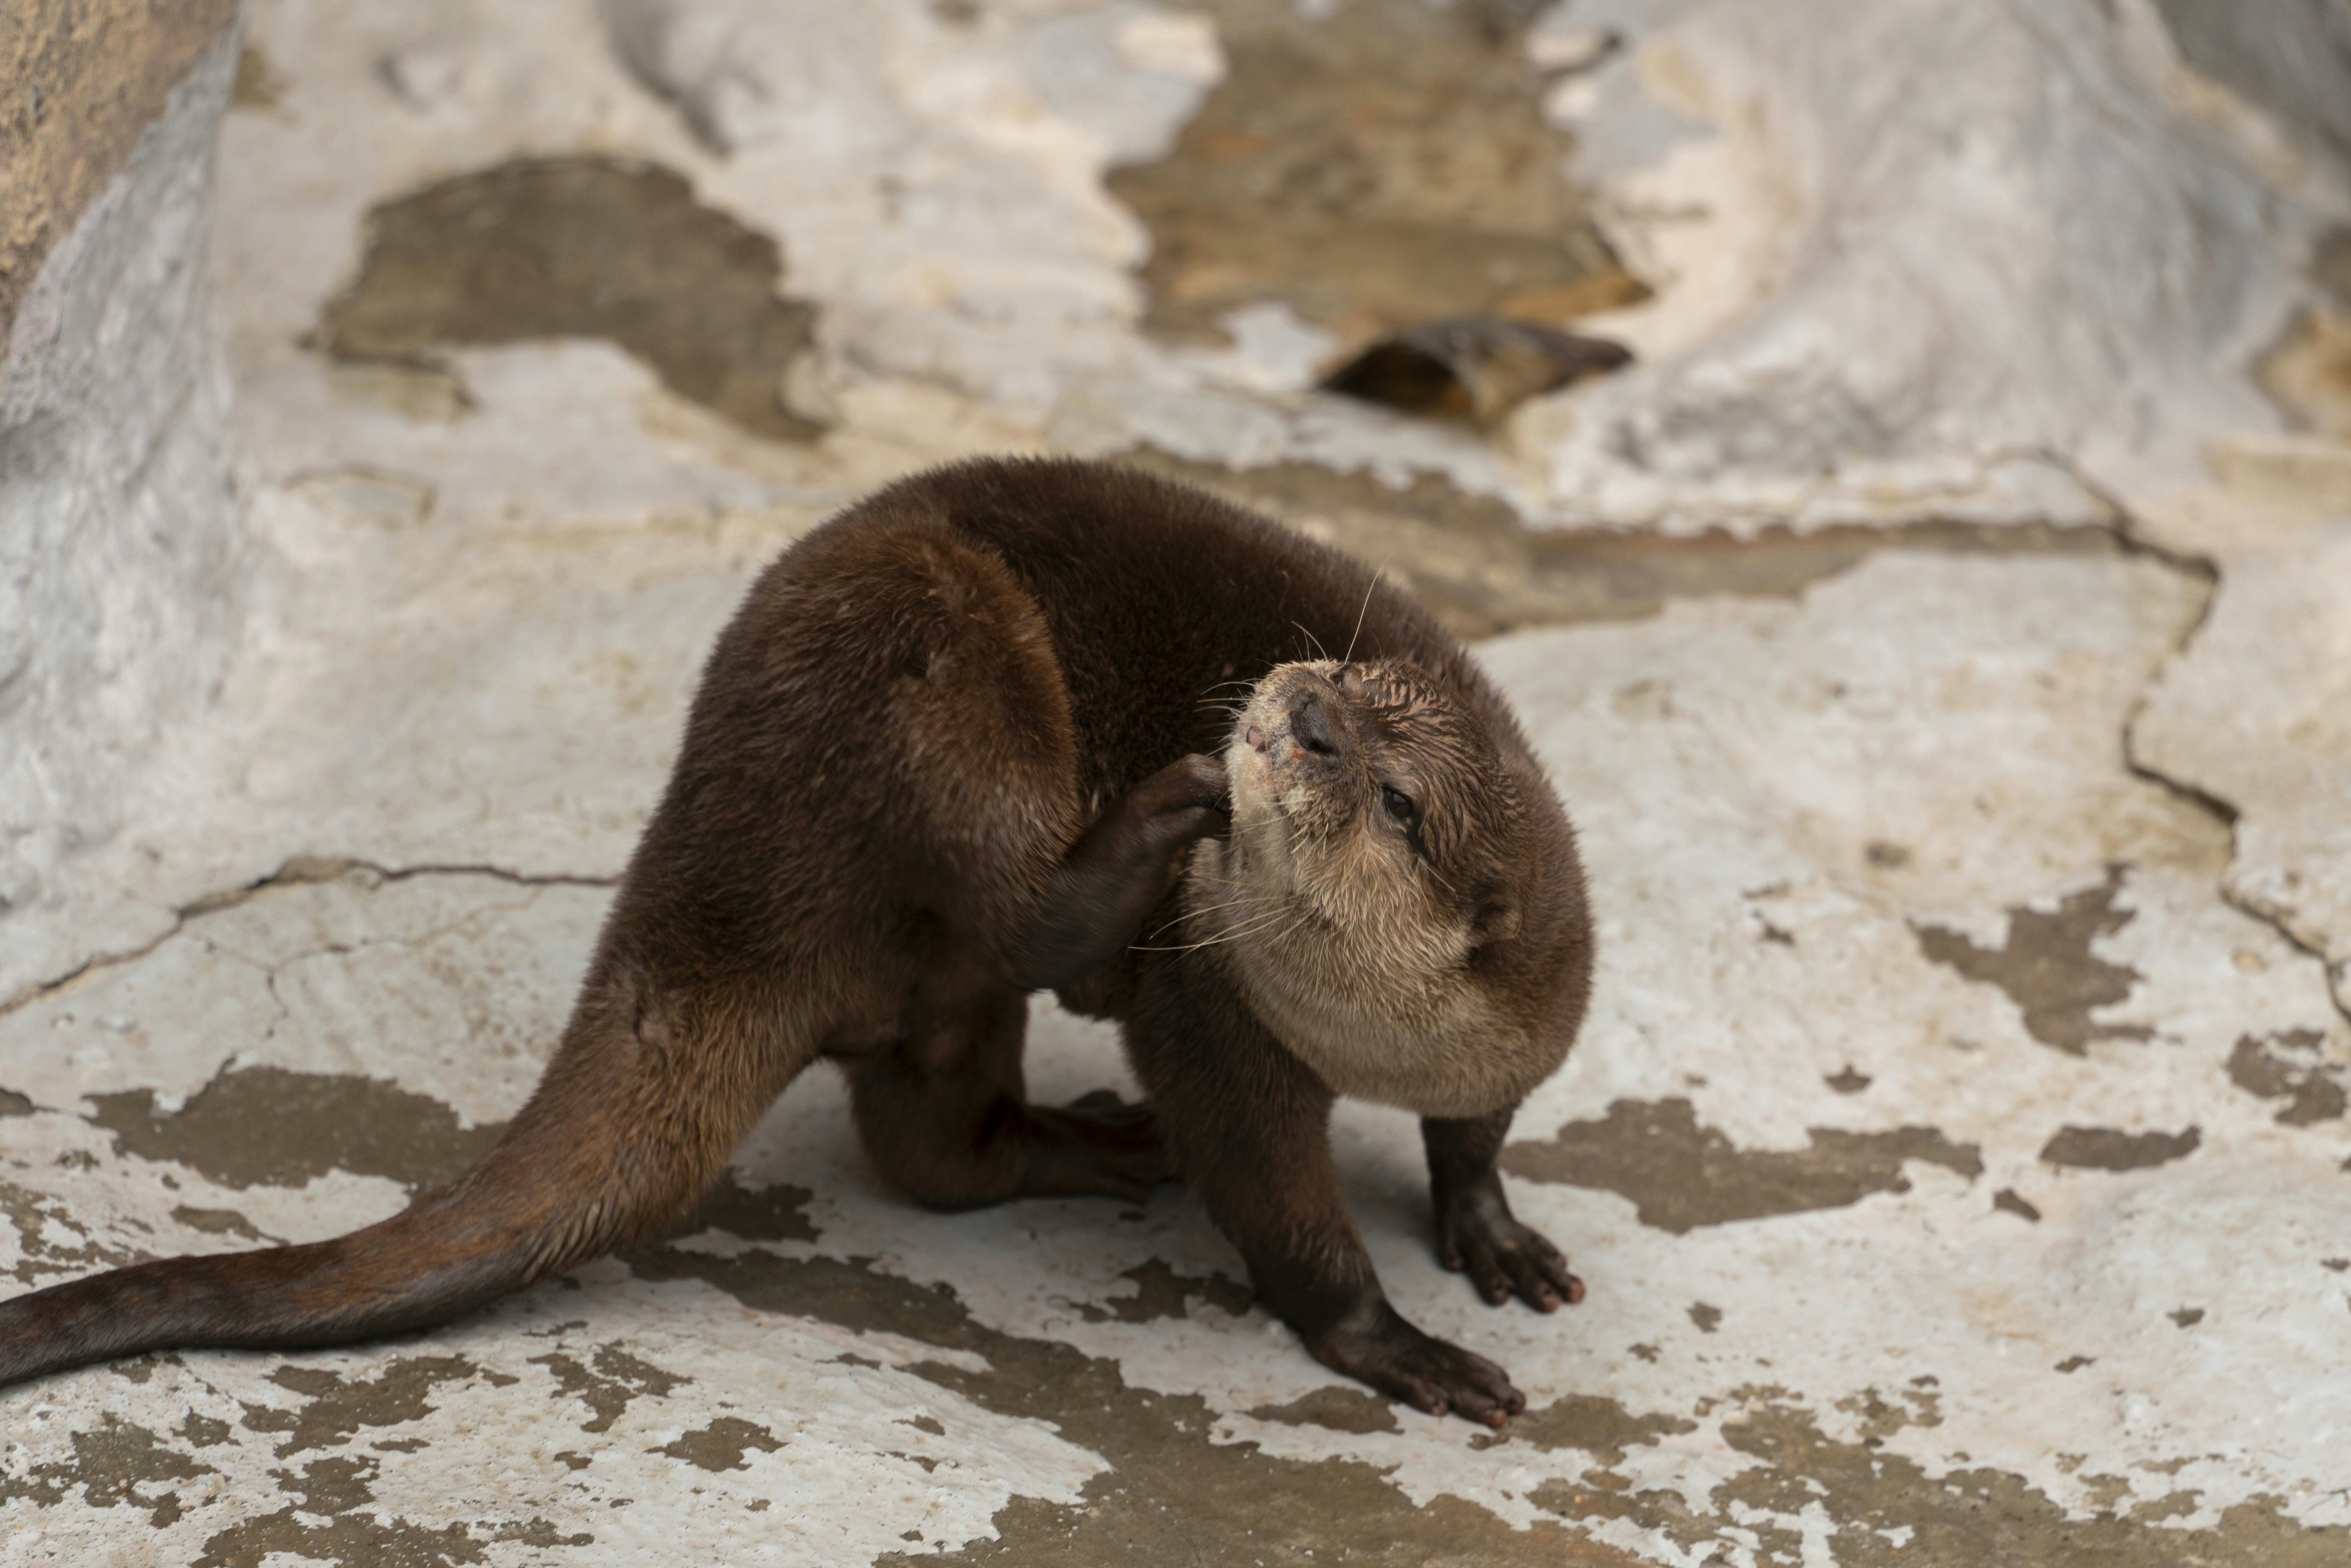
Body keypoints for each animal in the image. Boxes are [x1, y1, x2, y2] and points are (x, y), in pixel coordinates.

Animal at [0, 458, 1592, 1425]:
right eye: (1333, 680)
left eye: (1396, 793)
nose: (1298, 706)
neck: (1371, 1039)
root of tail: (708, 816)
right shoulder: (1217, 1019)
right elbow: (1276, 1199)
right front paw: (1395, 1342)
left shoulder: (1532, 1014)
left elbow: (1479, 1122)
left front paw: (1491, 1227)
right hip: (913, 648)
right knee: (1009, 901)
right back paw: (1150, 830)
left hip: (918, 949)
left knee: (932, 1143)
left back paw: (1073, 1140)